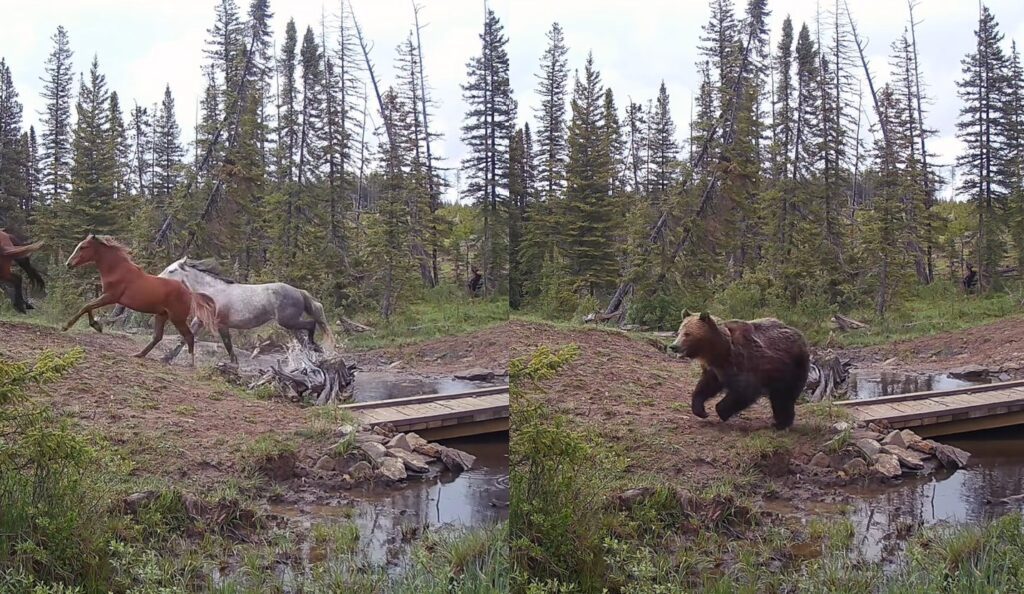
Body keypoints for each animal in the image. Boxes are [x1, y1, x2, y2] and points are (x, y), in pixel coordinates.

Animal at [63, 234, 219, 366]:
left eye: (83, 247)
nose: (68, 264)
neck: (117, 270)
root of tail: (190, 293)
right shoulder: (107, 297)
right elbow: (88, 307)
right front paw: (96, 326)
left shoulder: (110, 297)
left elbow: (86, 306)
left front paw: (67, 326)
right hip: (162, 315)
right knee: (158, 337)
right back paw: (139, 354)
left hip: (177, 318)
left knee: (189, 336)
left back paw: (190, 364)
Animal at [156, 257, 335, 364]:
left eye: (172, 270)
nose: (158, 279)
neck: (212, 293)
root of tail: (299, 291)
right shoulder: (199, 321)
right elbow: (184, 339)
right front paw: (166, 358)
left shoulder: (221, 324)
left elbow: (228, 345)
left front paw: (234, 365)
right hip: (291, 325)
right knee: (304, 339)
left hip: (288, 322)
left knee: (311, 325)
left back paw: (315, 347)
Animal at [667, 310, 809, 429]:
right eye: (679, 332)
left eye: (687, 334)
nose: (674, 346)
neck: (720, 352)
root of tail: (800, 335)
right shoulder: (715, 370)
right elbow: (706, 386)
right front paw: (701, 410)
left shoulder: (744, 361)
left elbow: (745, 390)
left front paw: (721, 411)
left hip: (791, 368)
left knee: (783, 397)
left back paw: (781, 423)